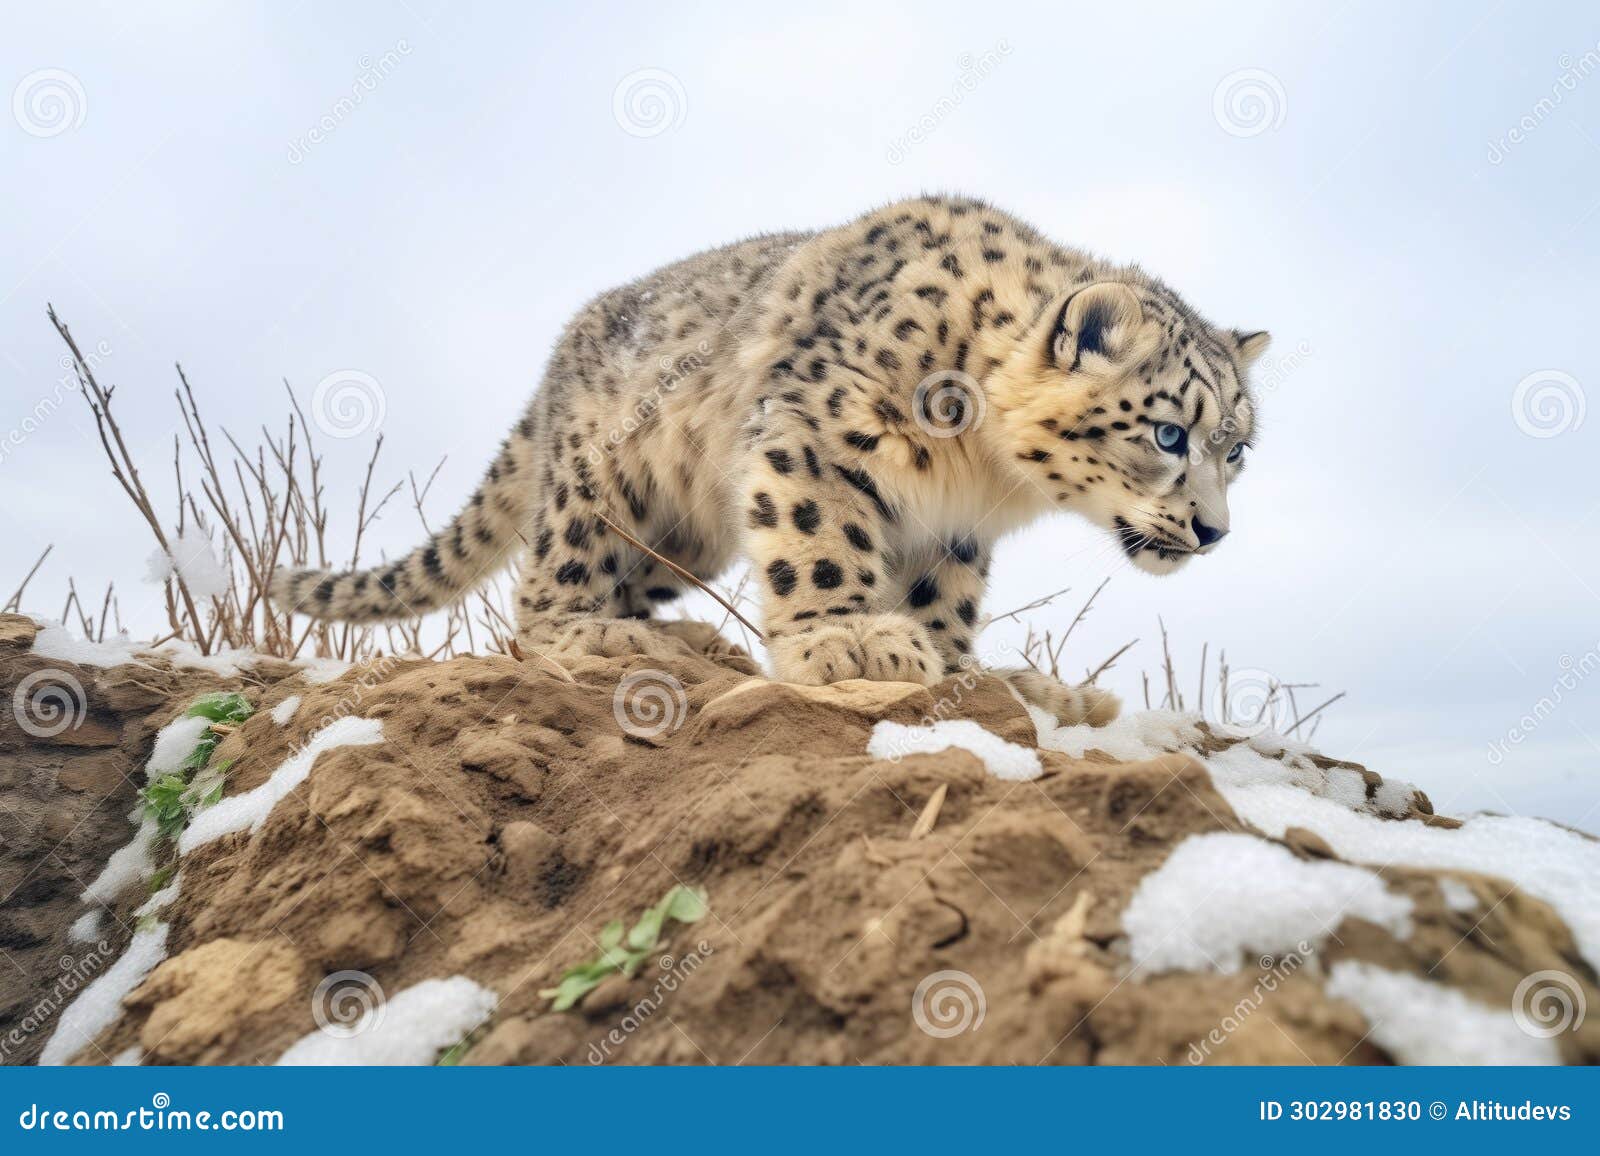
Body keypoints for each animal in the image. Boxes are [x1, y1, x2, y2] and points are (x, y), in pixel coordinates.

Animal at [271, 194, 1269, 728]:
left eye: (1238, 449)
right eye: (1169, 435)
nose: (1214, 531)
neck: (984, 473)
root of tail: (558, 360)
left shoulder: (952, 530)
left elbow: (943, 601)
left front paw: (972, 670)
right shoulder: (820, 439)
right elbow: (821, 541)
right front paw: (848, 638)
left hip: (687, 538)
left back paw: (686, 639)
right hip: (603, 485)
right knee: (547, 584)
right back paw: (602, 636)